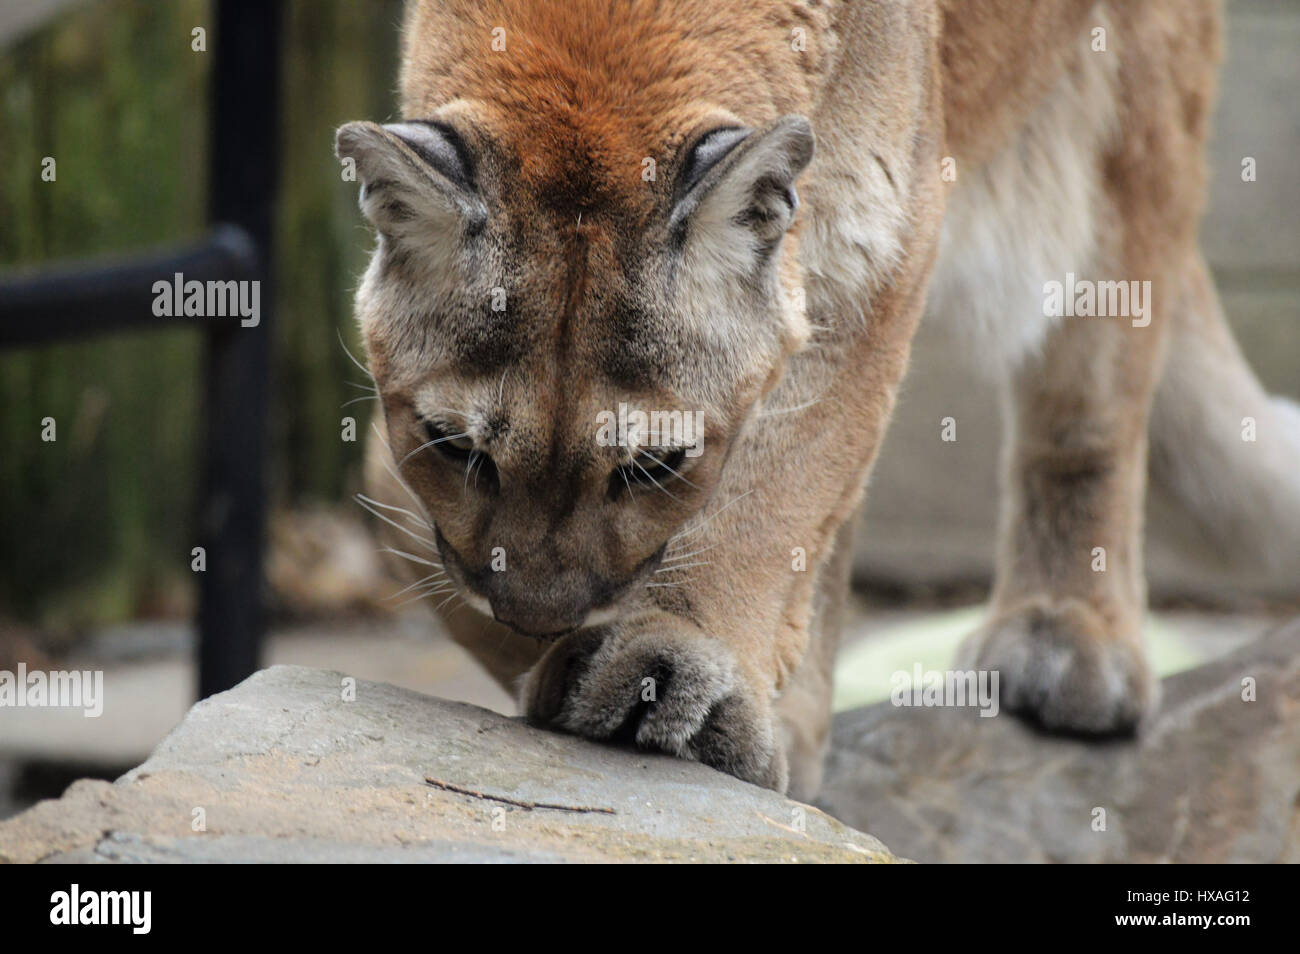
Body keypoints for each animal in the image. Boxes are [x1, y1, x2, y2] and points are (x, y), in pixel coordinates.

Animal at [335, 0, 1300, 800]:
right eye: (458, 449)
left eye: (654, 465)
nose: (538, 615)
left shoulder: (876, 257)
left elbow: (776, 498)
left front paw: (676, 656)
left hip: (1130, 124)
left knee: (1092, 402)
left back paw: (1069, 637)